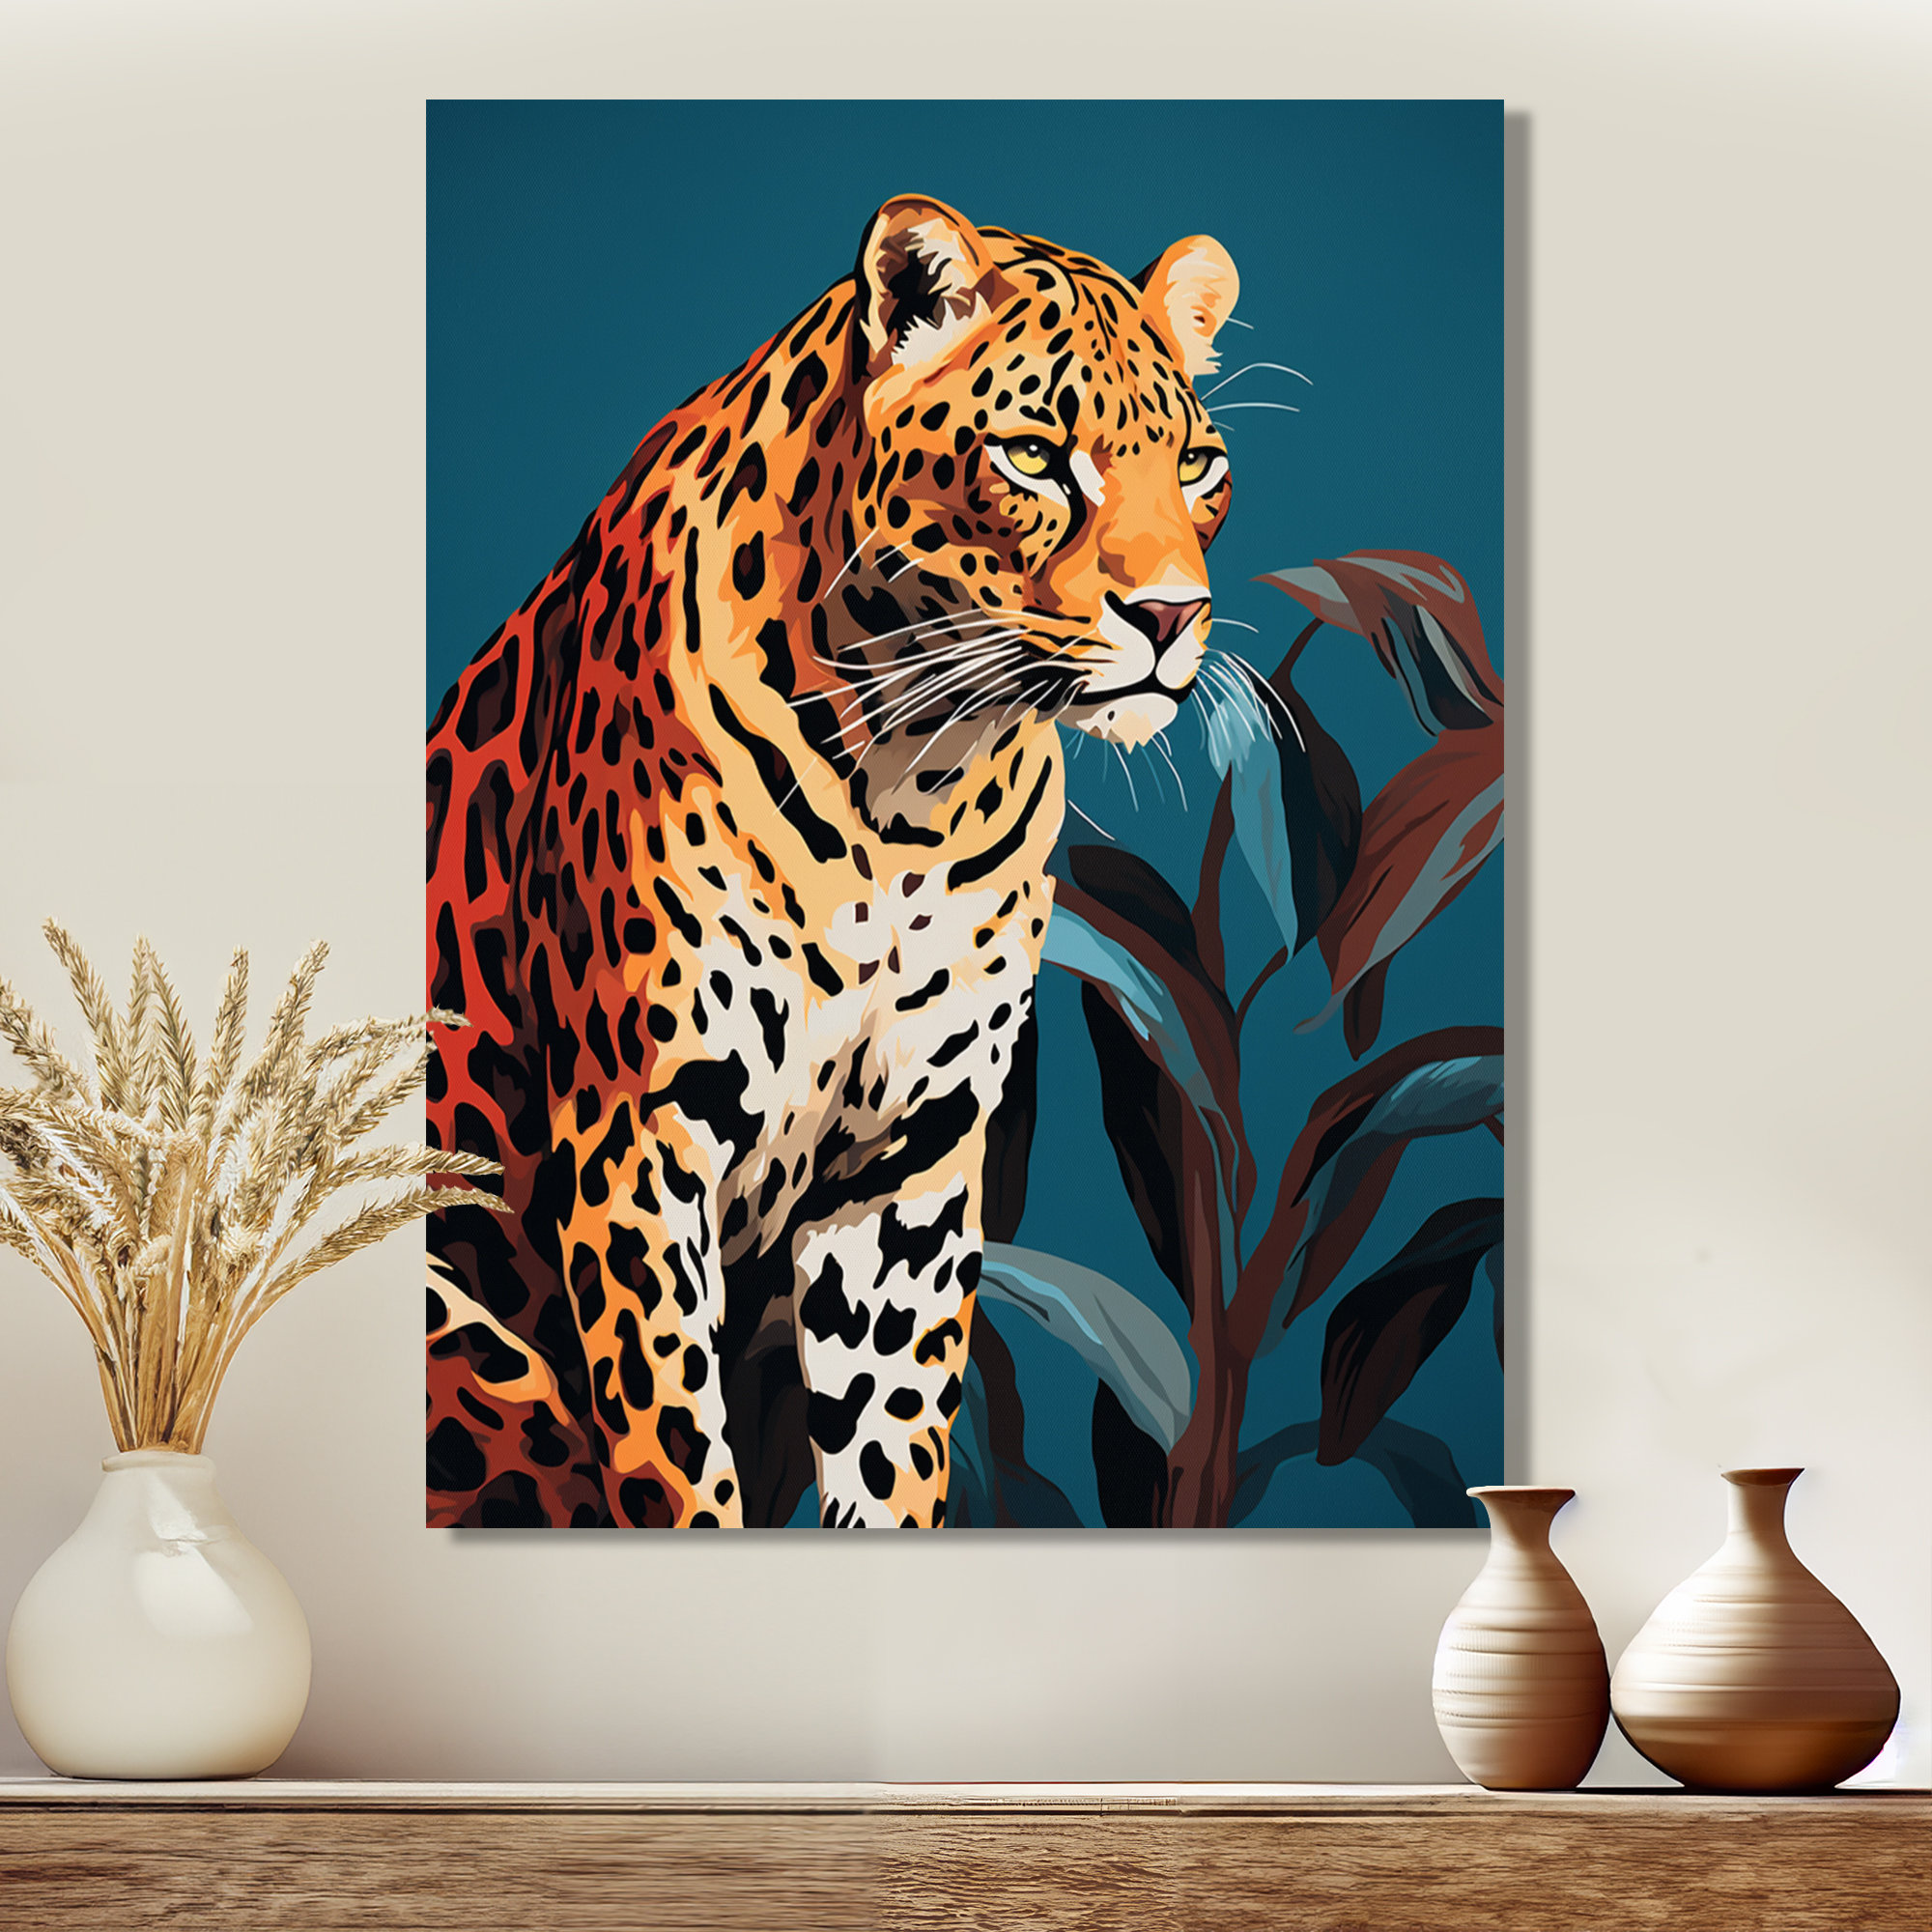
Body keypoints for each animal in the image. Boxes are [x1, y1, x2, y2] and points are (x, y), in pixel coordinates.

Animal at [425, 193, 1239, 1527]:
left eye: (1196, 467)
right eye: (1033, 457)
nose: (1170, 617)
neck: (912, 781)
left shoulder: (906, 1170)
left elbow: (889, 1445)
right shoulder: (640, 1144)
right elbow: (676, 1459)